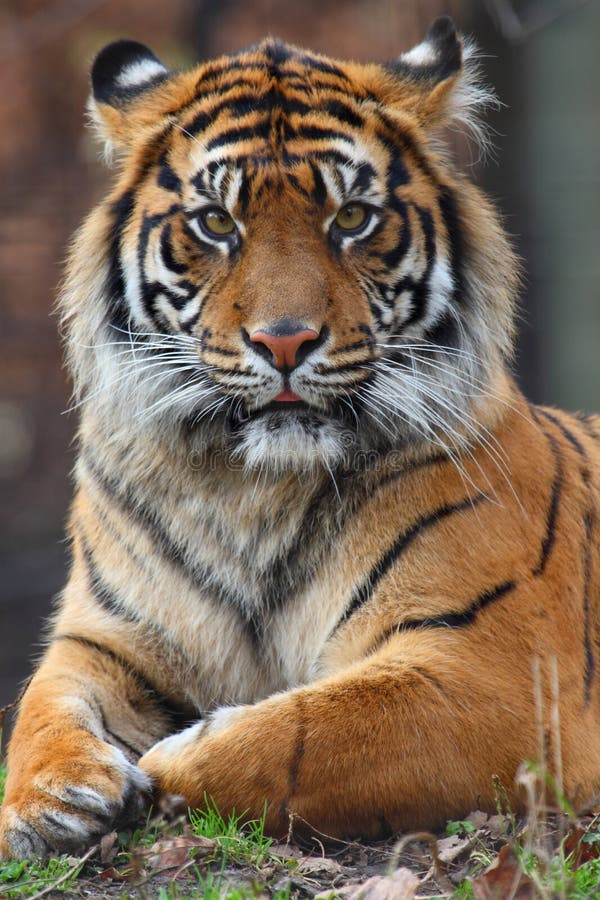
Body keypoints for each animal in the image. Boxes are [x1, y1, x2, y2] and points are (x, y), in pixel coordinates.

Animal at [1, 15, 599, 861]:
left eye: (351, 218)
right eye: (217, 223)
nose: (284, 341)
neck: (254, 489)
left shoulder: (497, 674)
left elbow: (311, 732)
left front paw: (178, 756)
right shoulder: (106, 637)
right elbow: (40, 702)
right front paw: (51, 797)